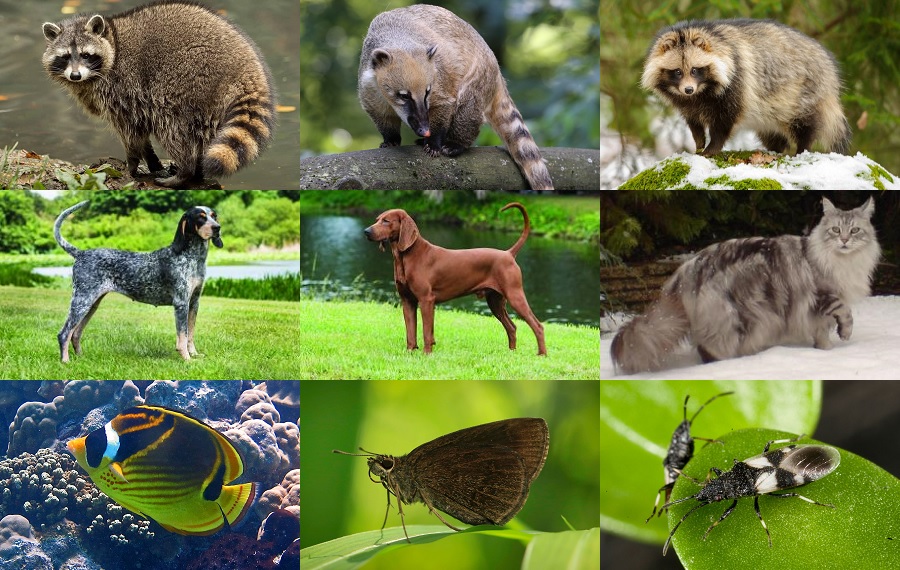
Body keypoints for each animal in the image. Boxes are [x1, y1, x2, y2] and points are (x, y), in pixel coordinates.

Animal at [42, 0, 276, 188]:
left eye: (86, 55)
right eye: (65, 57)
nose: (75, 75)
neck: (112, 42)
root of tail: (248, 69)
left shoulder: (122, 89)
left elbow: (131, 132)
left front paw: (132, 164)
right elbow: (141, 129)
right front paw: (152, 160)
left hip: (188, 81)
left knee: (173, 128)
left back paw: (186, 171)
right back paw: (196, 173)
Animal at [358, 5, 553, 191]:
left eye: (427, 91)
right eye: (404, 95)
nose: (425, 130)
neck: (399, 41)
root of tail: (497, 74)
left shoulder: (441, 77)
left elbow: (444, 103)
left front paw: (434, 142)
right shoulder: (368, 84)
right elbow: (378, 111)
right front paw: (390, 138)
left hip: (479, 77)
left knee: (467, 110)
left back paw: (455, 143)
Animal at [610, 198, 880, 375]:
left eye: (855, 230)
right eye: (835, 230)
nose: (844, 241)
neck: (842, 261)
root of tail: (688, 268)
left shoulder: (816, 313)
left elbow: (821, 333)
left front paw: (825, 351)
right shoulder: (824, 296)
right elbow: (845, 312)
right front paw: (843, 335)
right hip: (740, 316)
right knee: (712, 348)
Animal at [641, 19, 850, 156]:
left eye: (694, 70)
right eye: (677, 72)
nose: (688, 89)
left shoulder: (737, 82)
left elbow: (725, 121)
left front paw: (712, 147)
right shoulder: (687, 103)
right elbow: (694, 123)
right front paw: (699, 144)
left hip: (804, 92)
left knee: (805, 124)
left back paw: (802, 148)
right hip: (772, 110)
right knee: (772, 132)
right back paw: (775, 149)